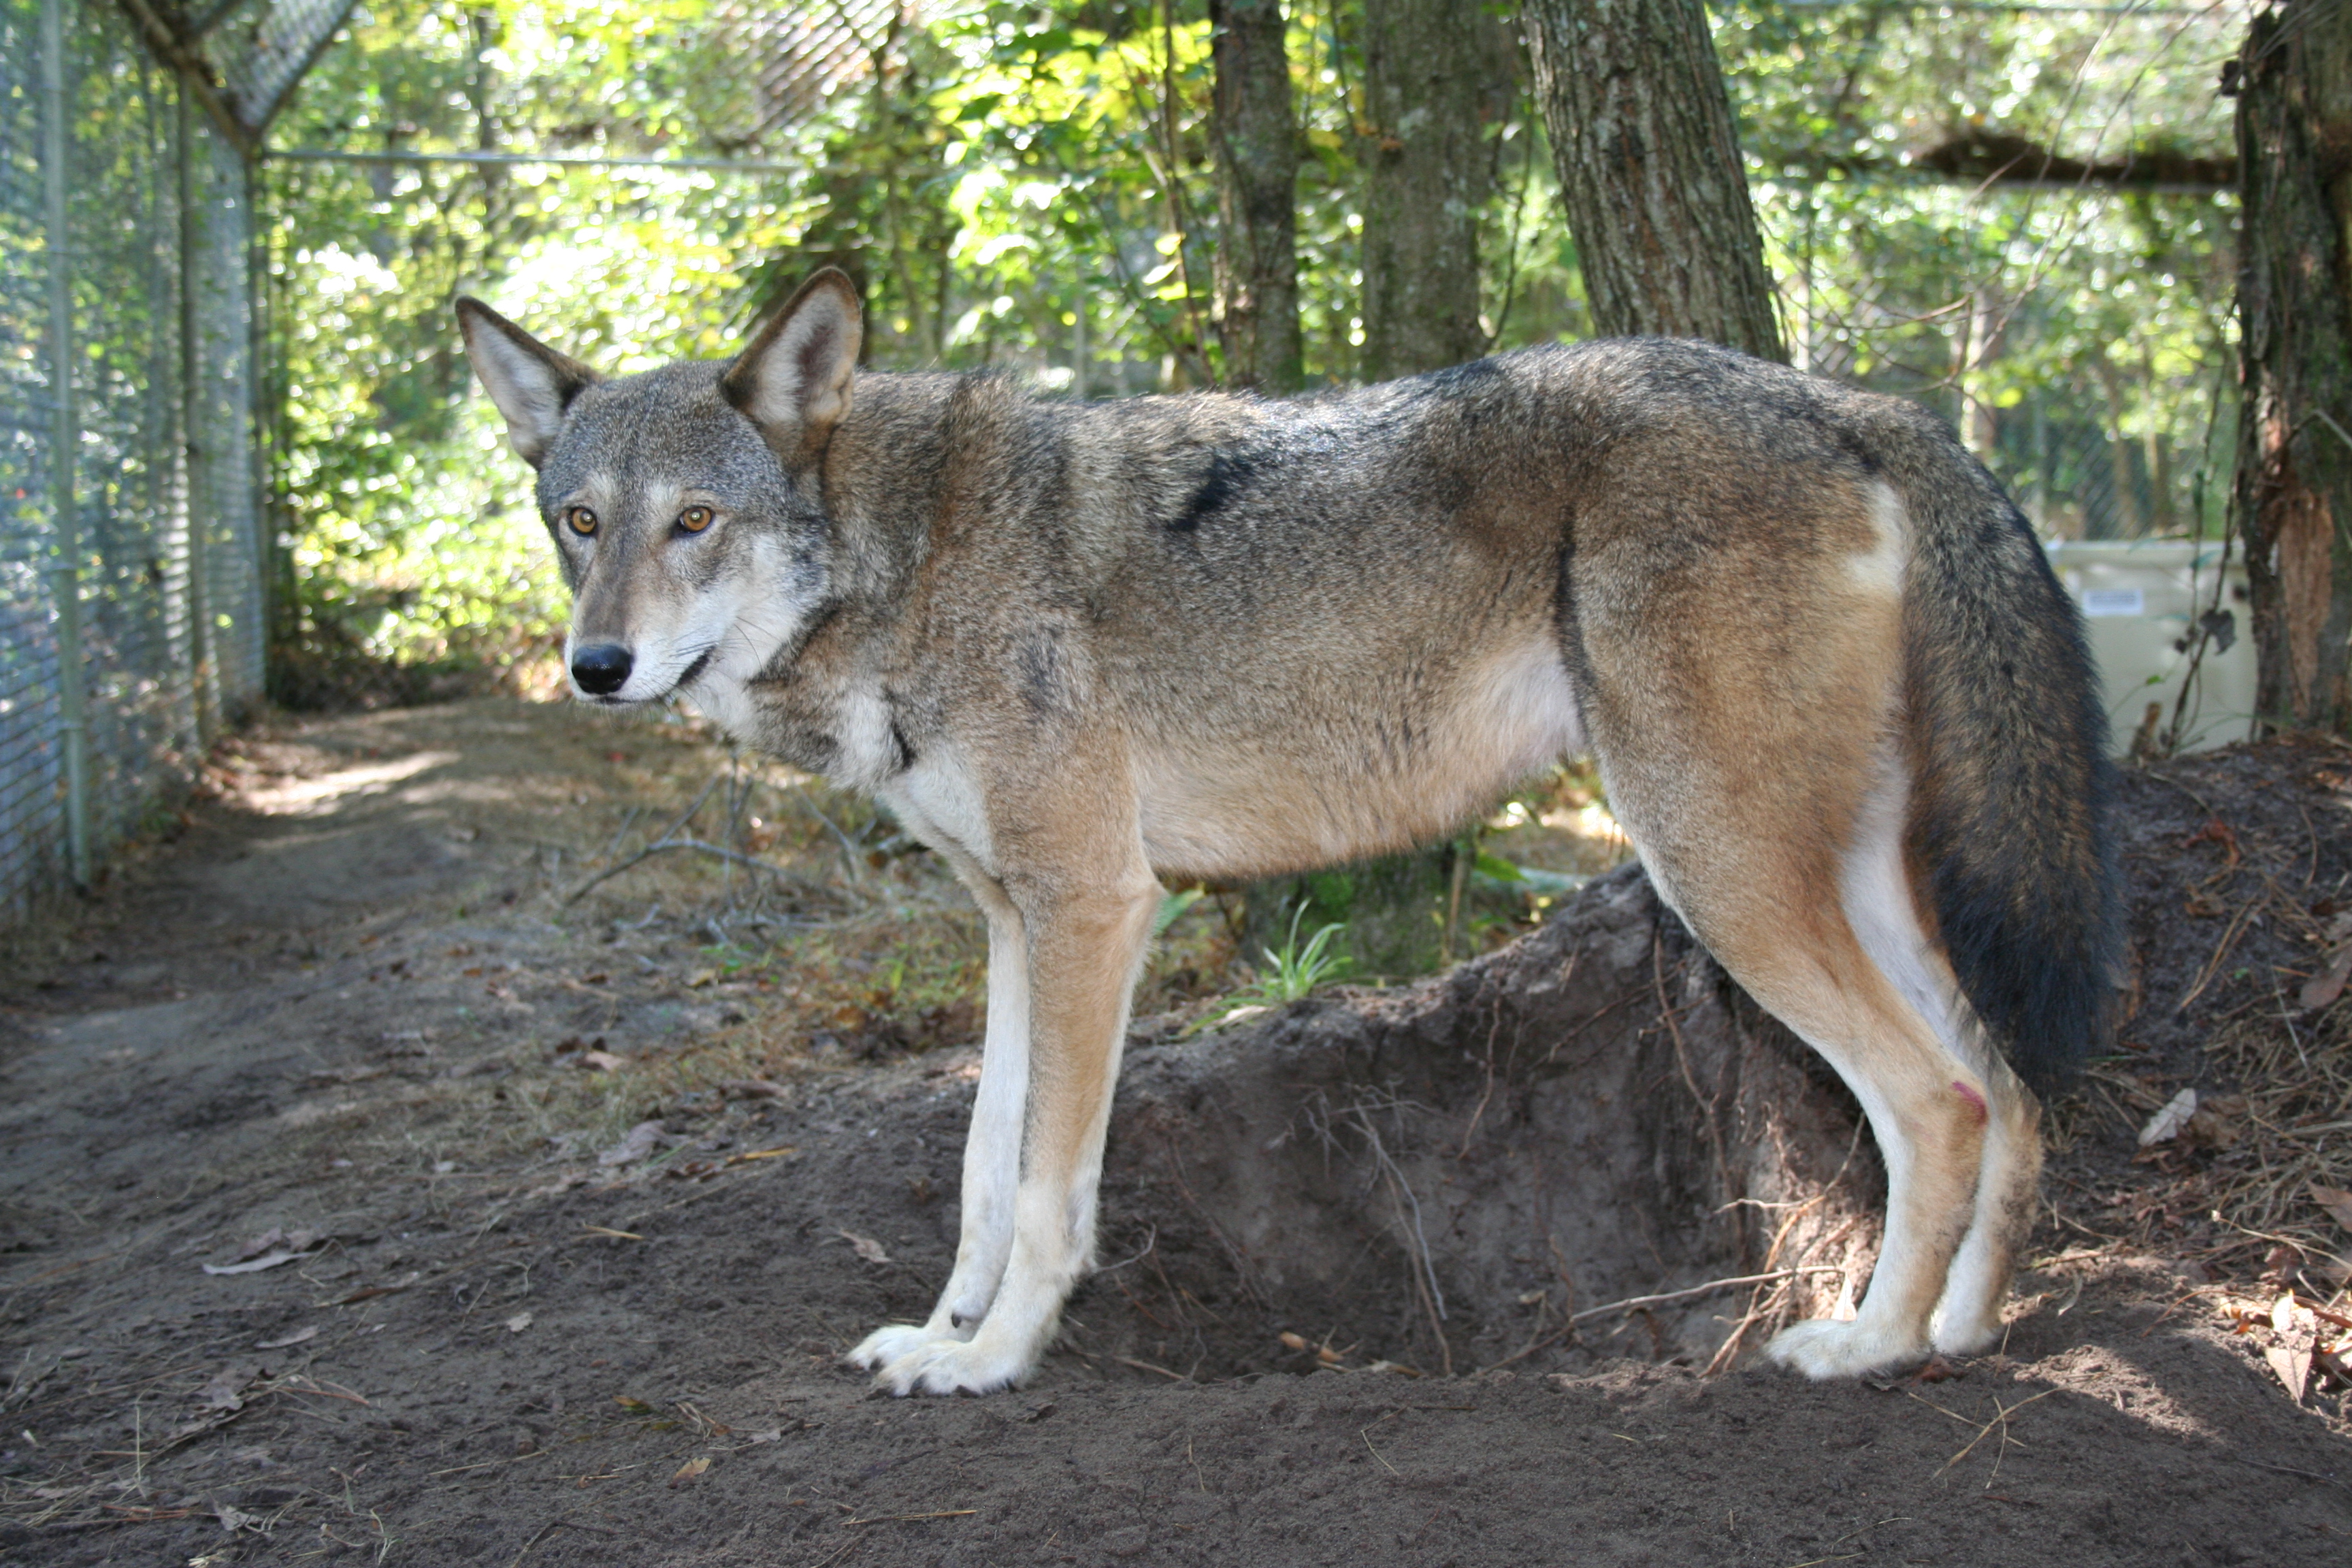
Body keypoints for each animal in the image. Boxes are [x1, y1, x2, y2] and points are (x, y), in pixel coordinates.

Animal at [456, 268, 2115, 1396]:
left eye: (695, 522)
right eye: (581, 523)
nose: (594, 666)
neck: (906, 560)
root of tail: (1842, 397)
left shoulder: (1096, 908)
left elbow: (1048, 1188)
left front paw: (995, 1363)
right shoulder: (1011, 922)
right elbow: (984, 1170)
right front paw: (937, 1337)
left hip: (1720, 873)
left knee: (1939, 1102)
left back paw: (1875, 1347)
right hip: (1850, 879)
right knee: (2014, 1090)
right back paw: (1967, 1328)